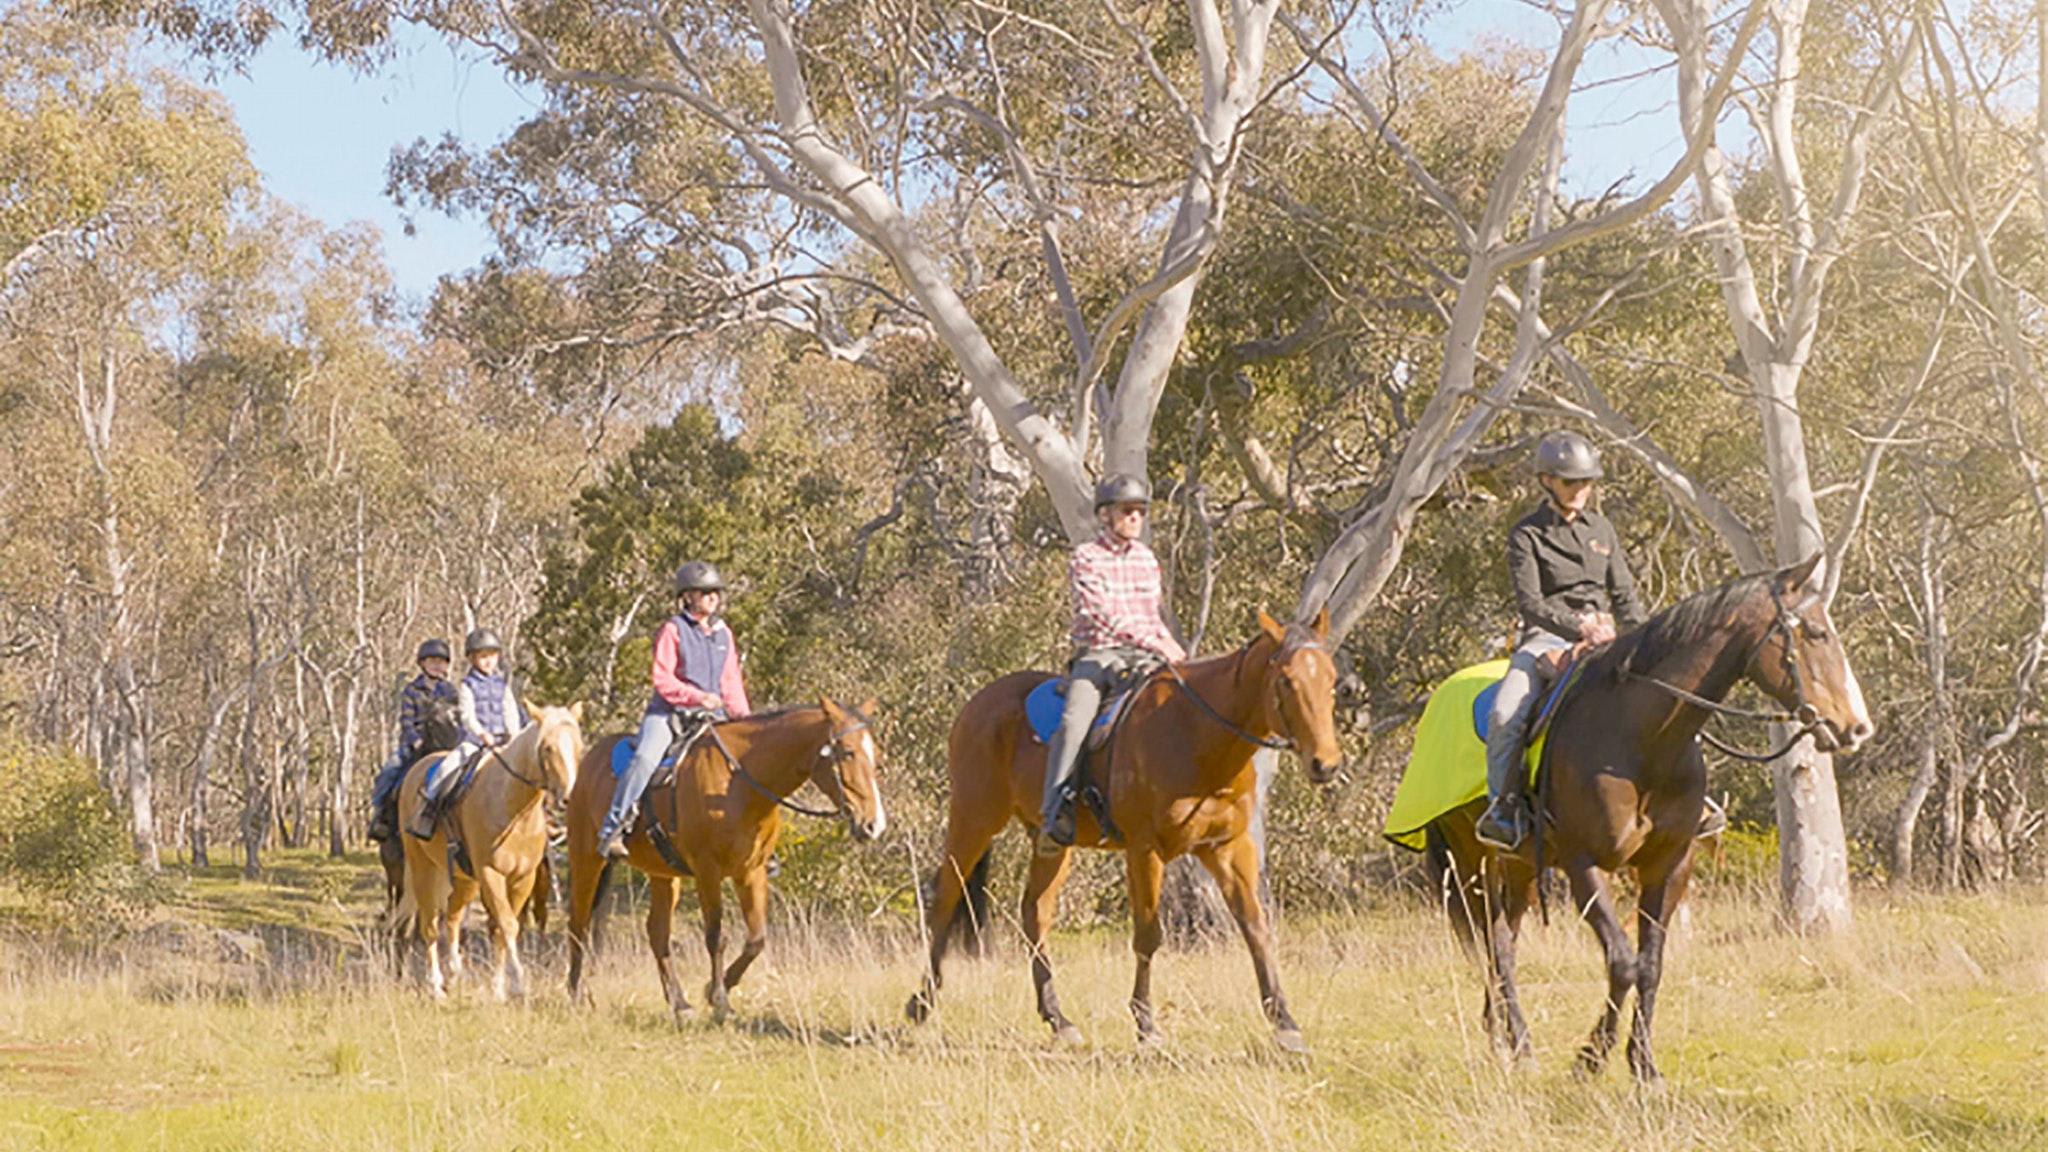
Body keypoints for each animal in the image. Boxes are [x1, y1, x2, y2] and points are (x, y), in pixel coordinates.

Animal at [392, 701, 584, 1001]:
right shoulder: (490, 874)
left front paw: (499, 987)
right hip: (423, 868)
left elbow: (504, 928)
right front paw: (517, 983)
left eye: (579, 746)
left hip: (465, 879)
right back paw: (436, 986)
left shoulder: (523, 878)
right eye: (547, 748)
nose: (568, 798)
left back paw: (455, 972)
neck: (513, 808)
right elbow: (507, 924)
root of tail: (416, 770)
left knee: (453, 916)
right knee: (429, 925)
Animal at [563, 698, 886, 1023]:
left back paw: (679, 1004)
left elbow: (757, 939)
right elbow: (716, 937)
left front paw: (715, 989)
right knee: (578, 922)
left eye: (876, 755)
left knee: (657, 931)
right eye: (847, 752)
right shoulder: (708, 871)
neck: (738, 786)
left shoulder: (752, 871)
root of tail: (589, 759)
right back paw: (576, 994)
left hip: (663, 874)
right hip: (586, 859)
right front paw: (720, 1002)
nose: (874, 825)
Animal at [908, 610, 1344, 1053]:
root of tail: (977, 703)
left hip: (1051, 843)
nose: (1325, 763)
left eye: (1331, 677)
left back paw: (1058, 1019)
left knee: (1034, 912)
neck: (1198, 735)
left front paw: (1285, 1023)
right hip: (974, 817)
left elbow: (1256, 928)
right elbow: (1148, 935)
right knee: (946, 896)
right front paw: (1146, 1026)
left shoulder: (1227, 848)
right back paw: (921, 1004)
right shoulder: (1145, 850)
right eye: (1286, 680)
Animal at [1425, 554, 1872, 1082]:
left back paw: (1508, 1042)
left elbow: (1651, 964)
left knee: (1504, 943)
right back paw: (1519, 1044)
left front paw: (1643, 1064)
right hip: (1470, 861)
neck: (1642, 742)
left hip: (1518, 869)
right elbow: (1623, 962)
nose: (1857, 728)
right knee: (1495, 945)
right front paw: (1590, 1059)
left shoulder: (1669, 865)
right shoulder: (1583, 864)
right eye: (1816, 633)